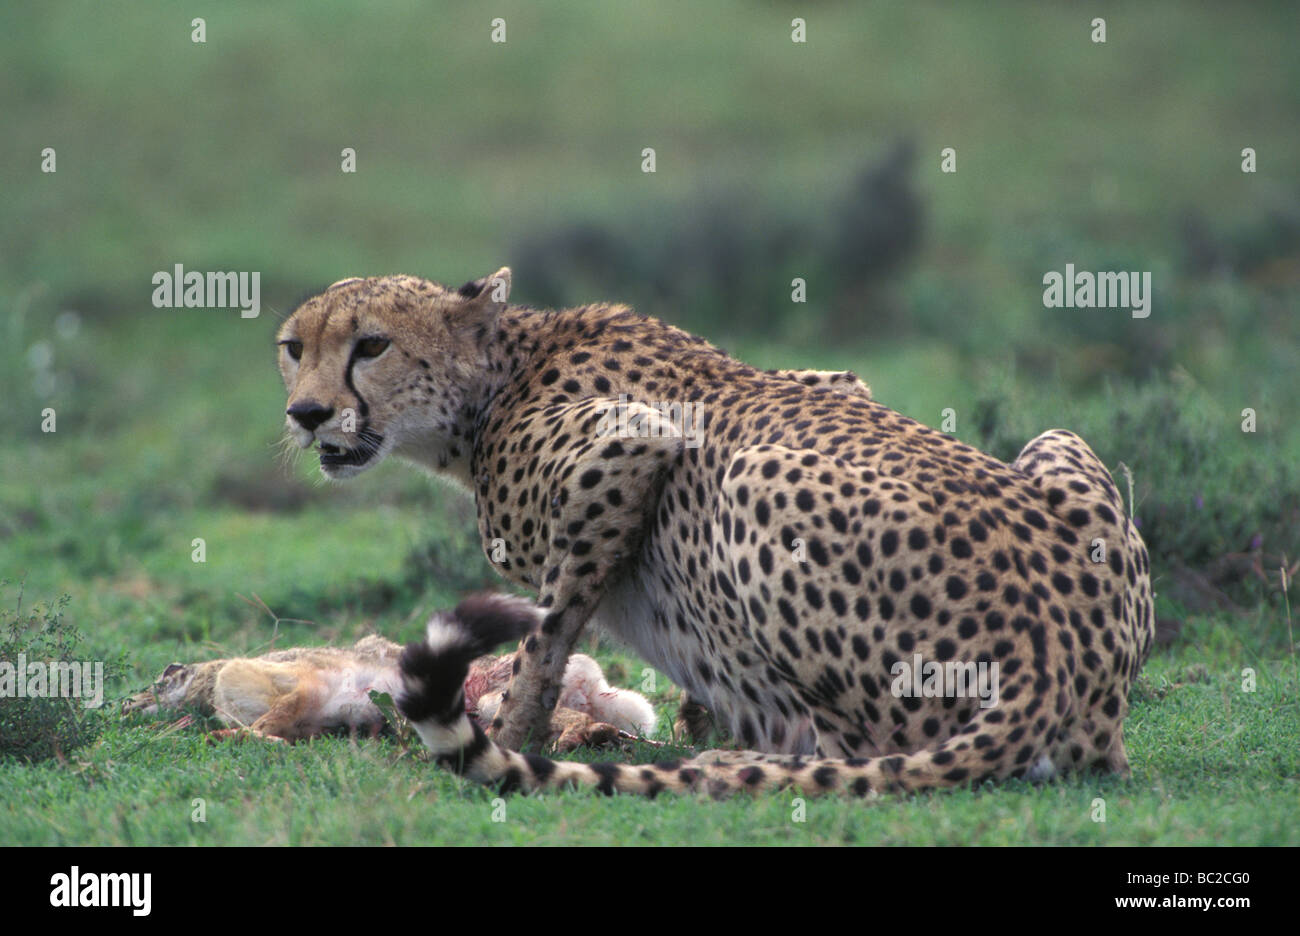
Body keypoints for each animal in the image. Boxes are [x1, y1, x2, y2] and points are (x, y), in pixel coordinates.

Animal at [276, 266, 1154, 797]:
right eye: (292, 348)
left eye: (373, 344)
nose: (307, 412)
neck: (498, 378)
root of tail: (1058, 651)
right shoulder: (833, 379)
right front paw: (697, 711)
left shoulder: (632, 440)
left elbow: (545, 641)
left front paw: (512, 740)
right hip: (1058, 442)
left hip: (753, 474)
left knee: (864, 756)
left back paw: (737, 761)